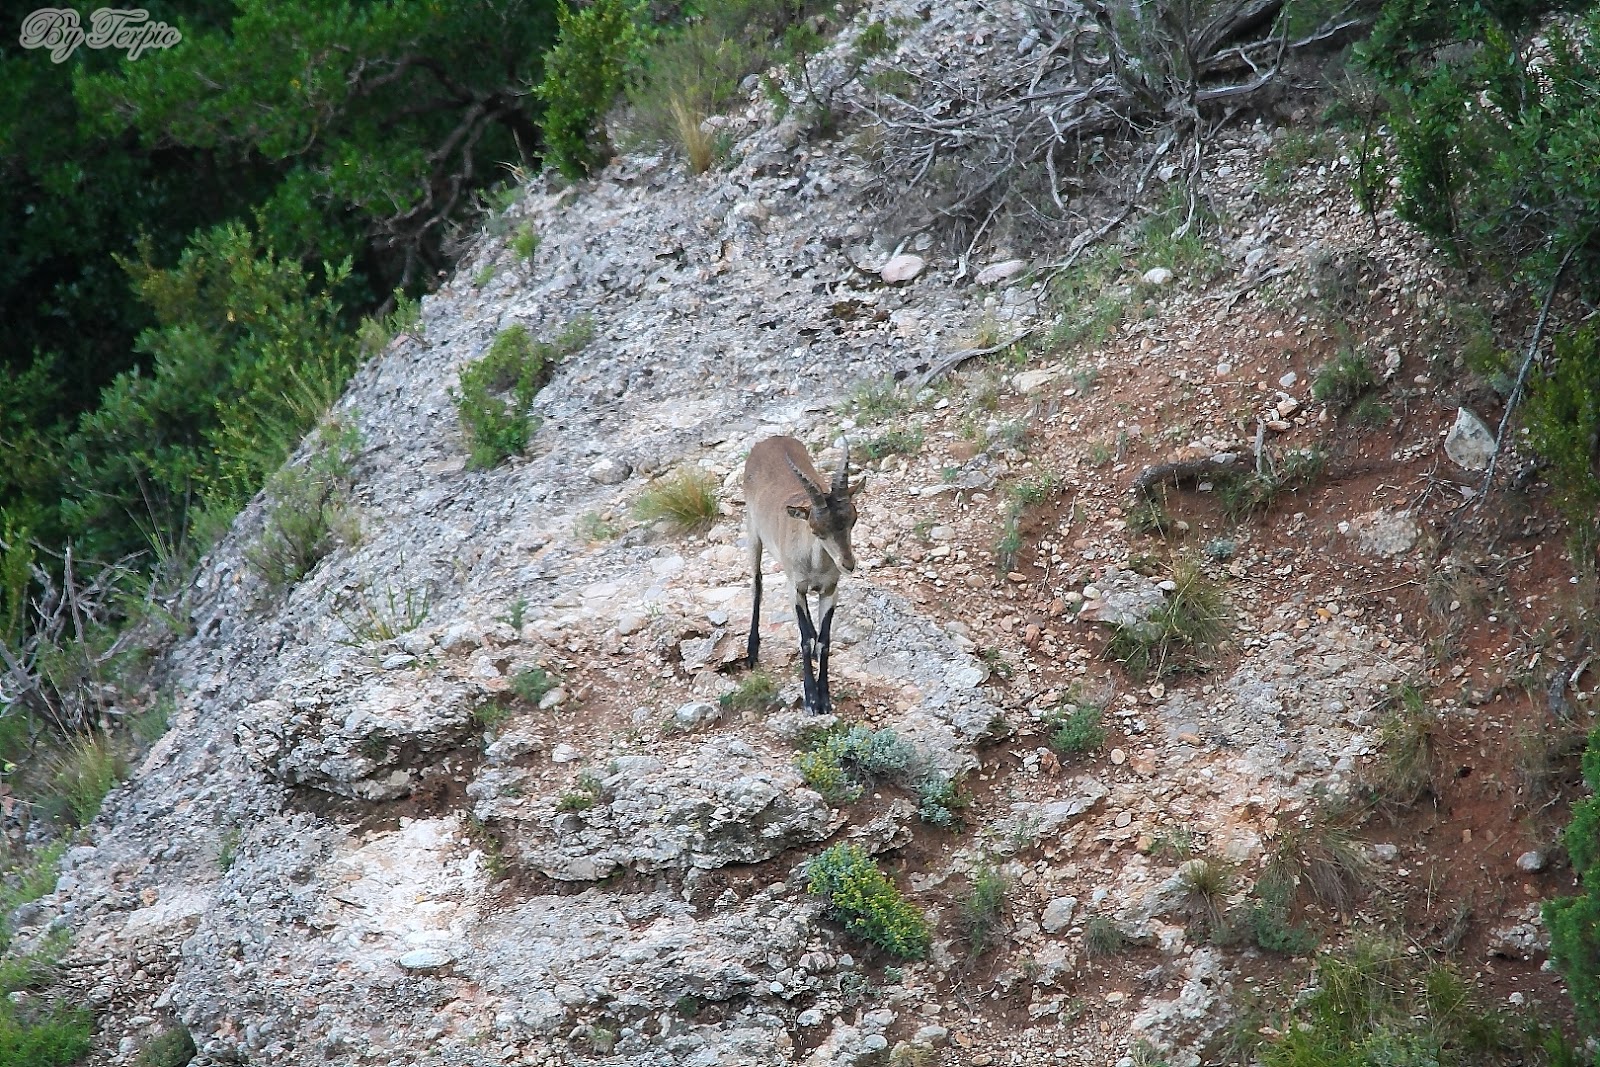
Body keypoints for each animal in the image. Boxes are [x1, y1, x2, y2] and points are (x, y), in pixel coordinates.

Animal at [743, 436, 862, 714]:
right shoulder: (794, 589)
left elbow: (824, 641)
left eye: (852, 518)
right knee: (757, 583)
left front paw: (825, 698)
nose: (848, 564)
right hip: (753, 531)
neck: (814, 564)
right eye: (817, 530)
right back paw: (752, 651)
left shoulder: (830, 589)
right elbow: (805, 639)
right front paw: (811, 699)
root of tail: (771, 439)